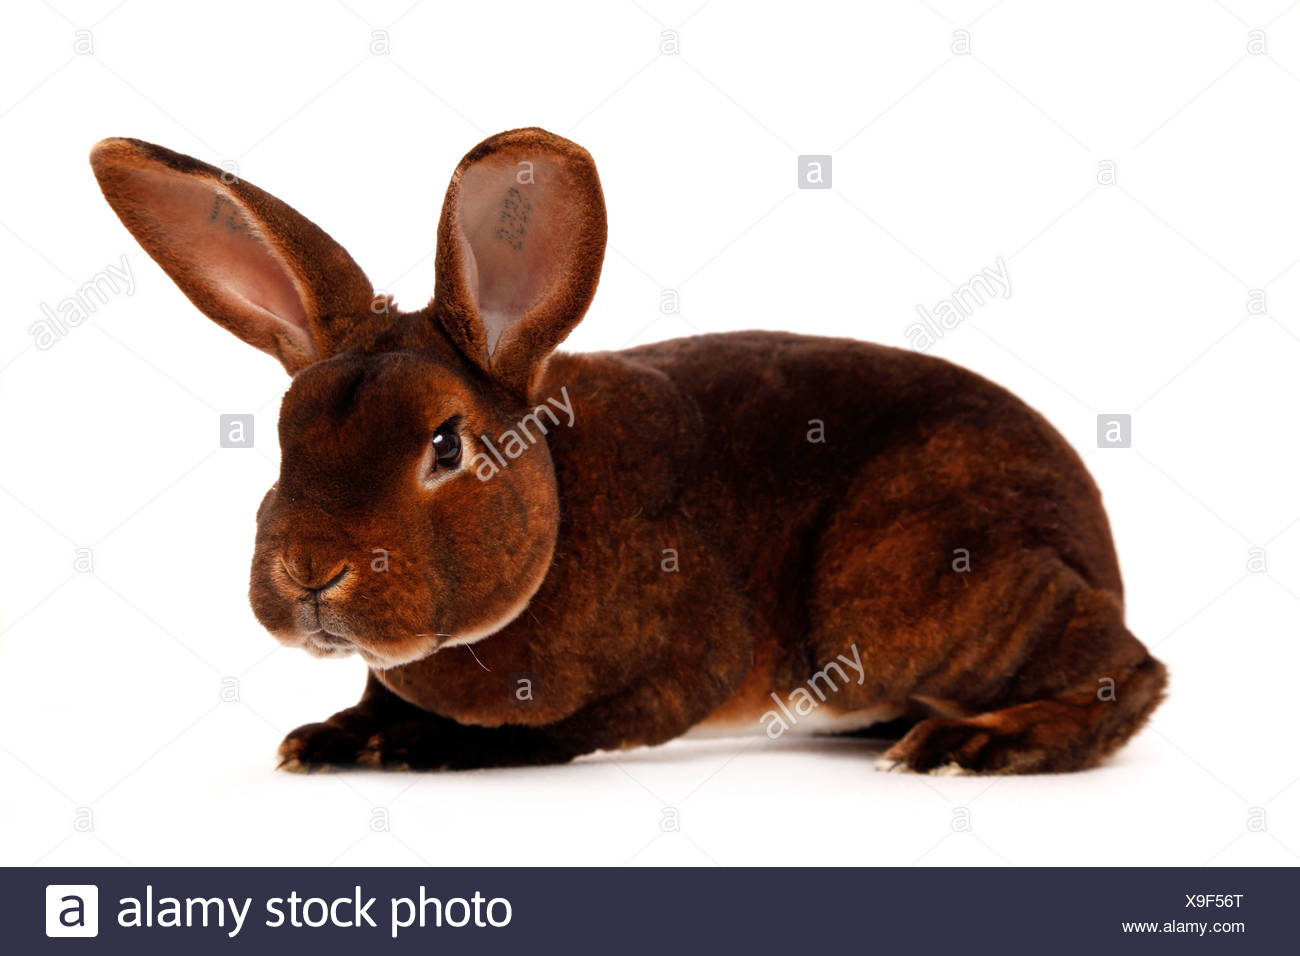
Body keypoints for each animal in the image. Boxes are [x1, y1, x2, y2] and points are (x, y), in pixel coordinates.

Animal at [89, 127, 1166, 775]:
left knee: (1129, 673)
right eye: (283, 435)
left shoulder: (677, 668)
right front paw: (321, 740)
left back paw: (967, 744)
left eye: (446, 443)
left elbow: (562, 729)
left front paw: (419, 747)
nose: (310, 570)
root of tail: (1100, 539)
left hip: (909, 584)